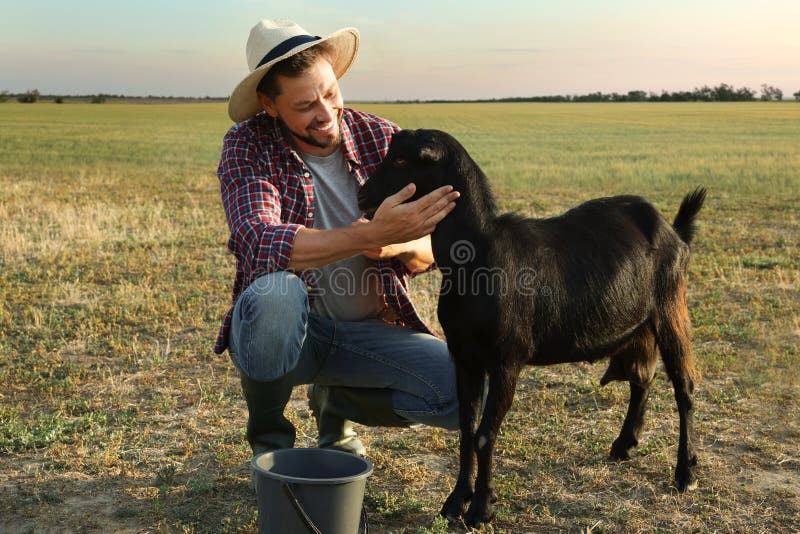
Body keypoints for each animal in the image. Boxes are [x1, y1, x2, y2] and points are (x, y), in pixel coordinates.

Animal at [357, 129, 706, 527]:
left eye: (401, 159)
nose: (362, 196)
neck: (476, 257)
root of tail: (673, 230)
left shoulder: (507, 360)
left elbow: (484, 435)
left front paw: (481, 509)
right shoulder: (464, 357)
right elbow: (466, 431)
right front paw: (455, 502)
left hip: (670, 309)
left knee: (683, 387)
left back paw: (685, 473)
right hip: (639, 325)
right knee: (641, 379)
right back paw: (624, 444)